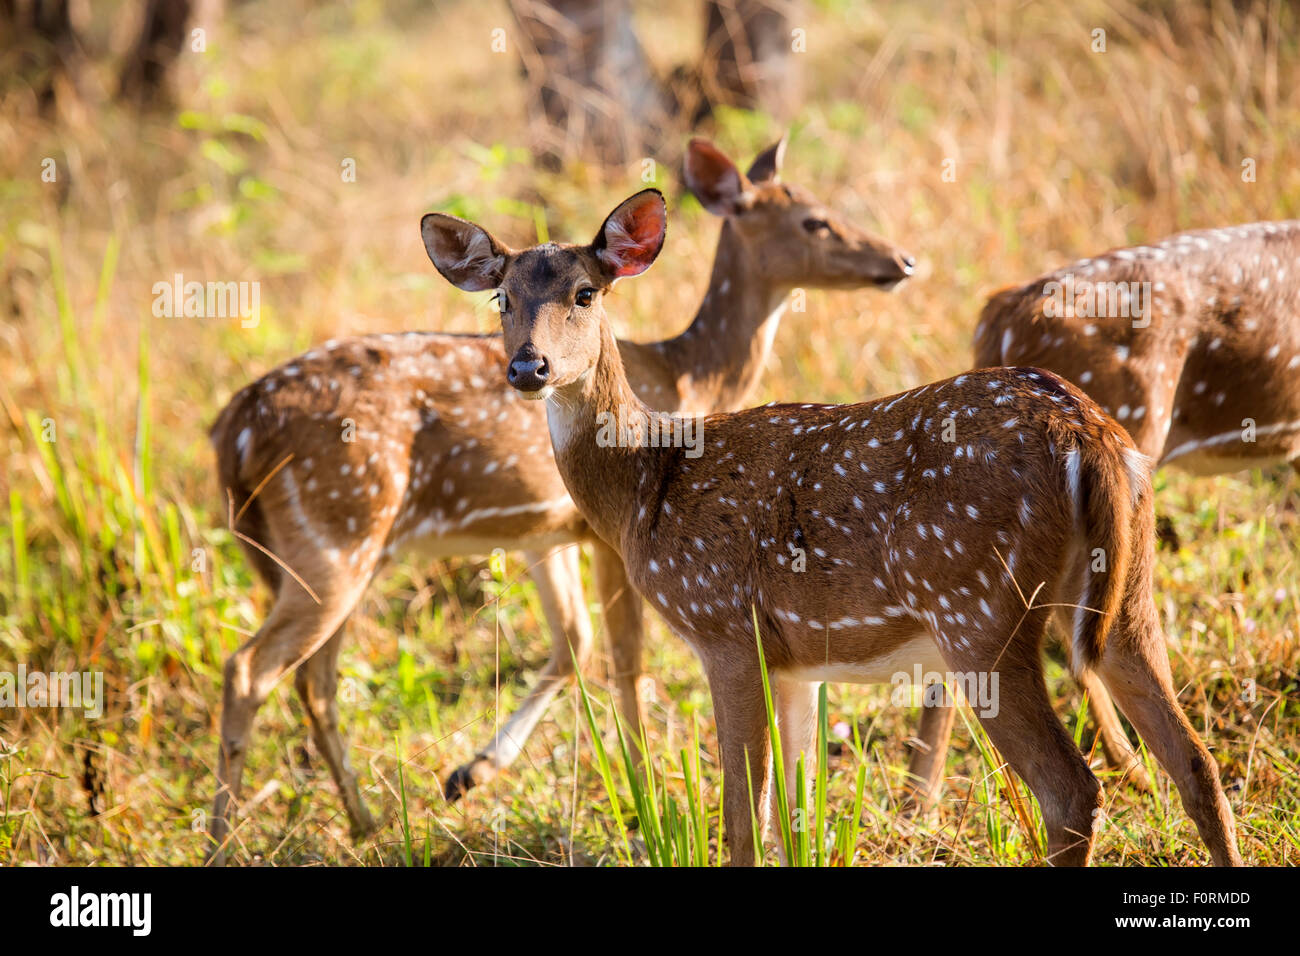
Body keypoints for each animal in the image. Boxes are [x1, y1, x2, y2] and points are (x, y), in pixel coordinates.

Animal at [205, 136, 915, 863]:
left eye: (584, 292)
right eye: (814, 221)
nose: (900, 261)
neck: (690, 379)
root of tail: (234, 426)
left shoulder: (547, 533)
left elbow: (574, 638)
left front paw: (472, 771)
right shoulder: (602, 534)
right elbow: (624, 657)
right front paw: (644, 800)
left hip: (339, 549)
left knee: (314, 678)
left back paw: (364, 820)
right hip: (335, 535)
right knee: (249, 668)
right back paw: (224, 838)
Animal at [422, 186, 1244, 866]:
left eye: (585, 292)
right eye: (500, 298)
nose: (527, 367)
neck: (647, 486)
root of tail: (1083, 431)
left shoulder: (725, 626)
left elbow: (743, 822)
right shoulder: (795, 662)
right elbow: (792, 818)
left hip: (977, 607)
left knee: (1070, 789)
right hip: (1126, 591)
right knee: (1195, 762)